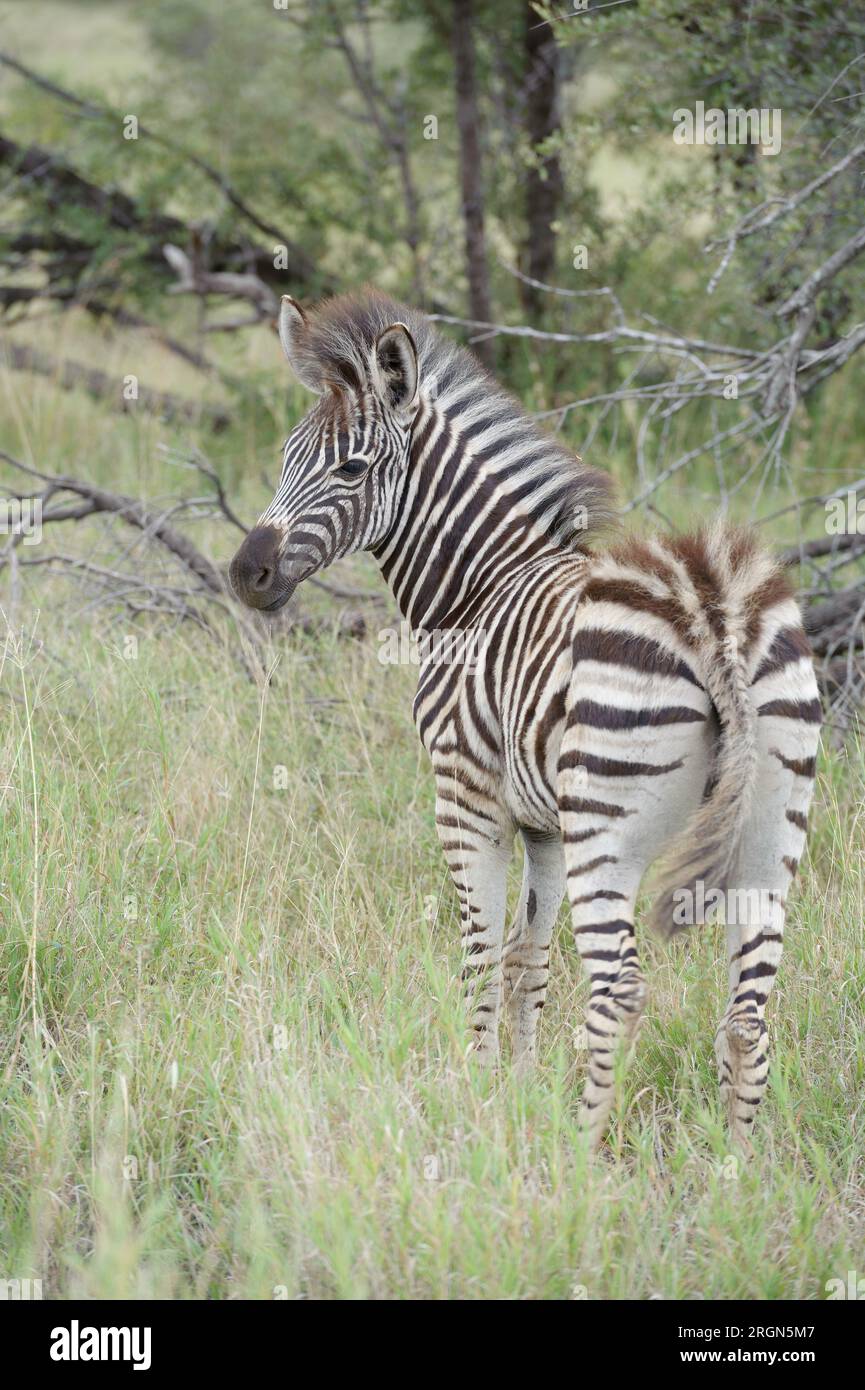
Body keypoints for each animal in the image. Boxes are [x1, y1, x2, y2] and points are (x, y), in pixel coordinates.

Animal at [229, 289, 821, 1153]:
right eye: (282, 459)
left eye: (350, 469)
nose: (247, 574)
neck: (479, 586)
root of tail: (713, 608)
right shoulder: (540, 822)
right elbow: (526, 961)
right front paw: (516, 1089)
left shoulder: (464, 796)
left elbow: (479, 955)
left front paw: (472, 1095)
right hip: (771, 820)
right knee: (747, 1011)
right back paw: (735, 1164)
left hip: (610, 828)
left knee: (619, 991)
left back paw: (583, 1150)